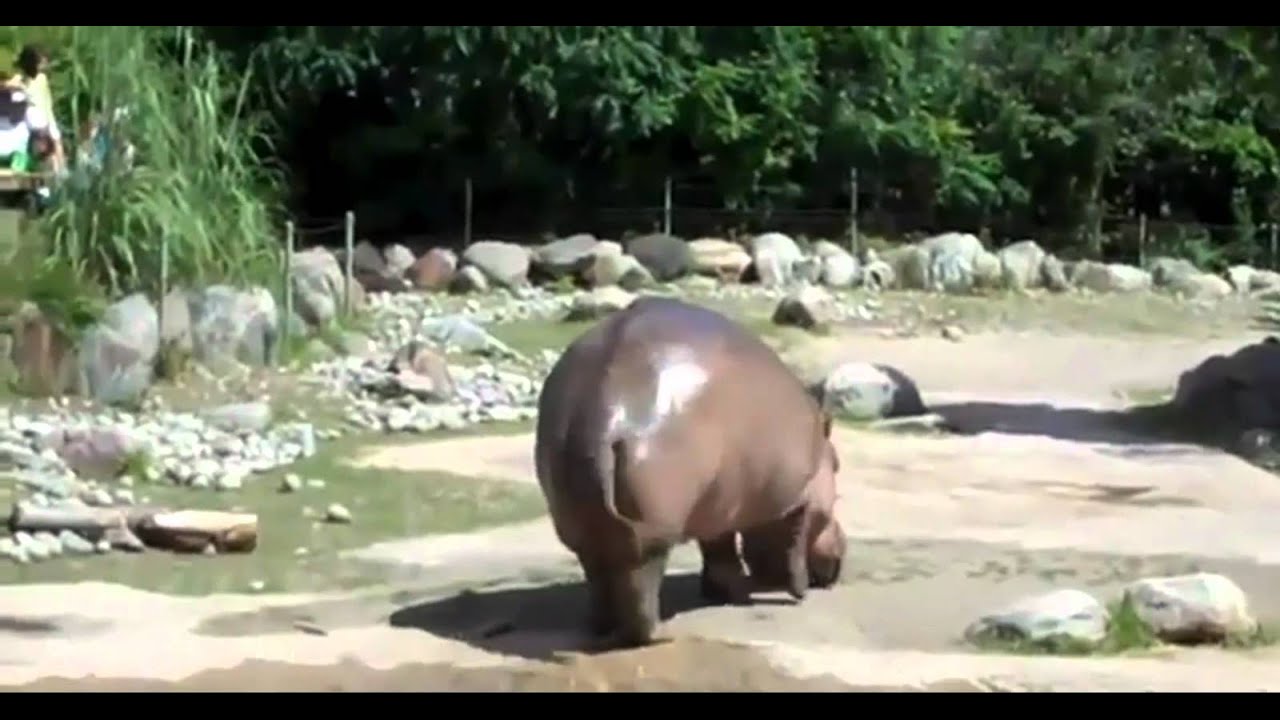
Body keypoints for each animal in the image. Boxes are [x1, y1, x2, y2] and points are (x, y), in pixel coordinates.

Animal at [533, 295, 846, 648]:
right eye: (837, 464)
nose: (842, 551)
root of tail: (602, 414)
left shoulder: (721, 501)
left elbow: (720, 550)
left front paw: (722, 592)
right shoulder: (793, 499)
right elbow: (790, 546)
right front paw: (791, 593)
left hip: (580, 523)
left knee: (598, 572)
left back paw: (600, 626)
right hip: (651, 533)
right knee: (639, 590)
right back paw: (659, 635)